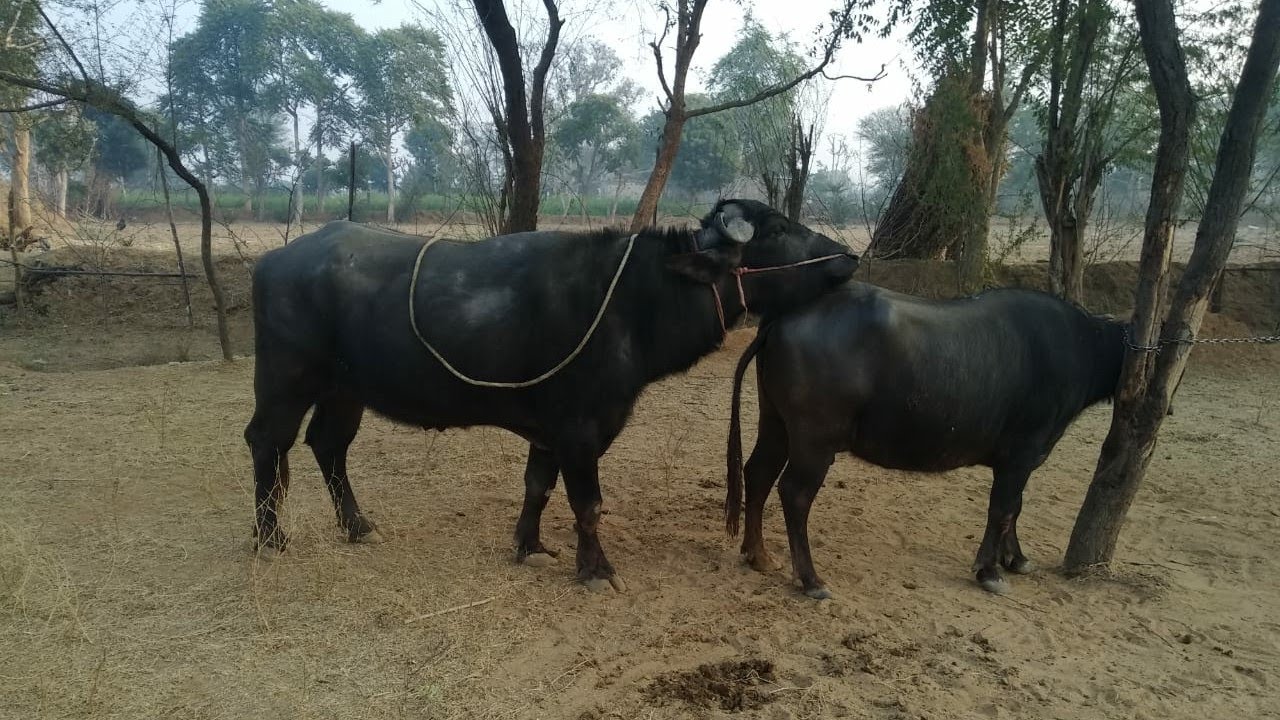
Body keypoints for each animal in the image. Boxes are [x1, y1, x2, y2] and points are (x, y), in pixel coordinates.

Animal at [244, 199, 858, 592]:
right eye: (777, 228)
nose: (848, 258)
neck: (630, 301)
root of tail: (273, 261)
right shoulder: (579, 429)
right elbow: (588, 504)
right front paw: (596, 570)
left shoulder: (549, 431)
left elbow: (537, 487)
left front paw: (529, 545)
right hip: (286, 378)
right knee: (267, 441)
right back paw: (269, 537)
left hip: (344, 389)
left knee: (328, 445)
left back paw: (357, 526)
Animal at [726, 282, 1126, 598]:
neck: (1083, 347)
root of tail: (782, 319)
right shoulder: (1020, 454)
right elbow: (1003, 509)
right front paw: (990, 571)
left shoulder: (1020, 462)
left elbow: (1016, 507)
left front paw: (1017, 558)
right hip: (814, 442)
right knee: (794, 494)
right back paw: (811, 579)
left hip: (776, 423)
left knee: (758, 473)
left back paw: (758, 555)